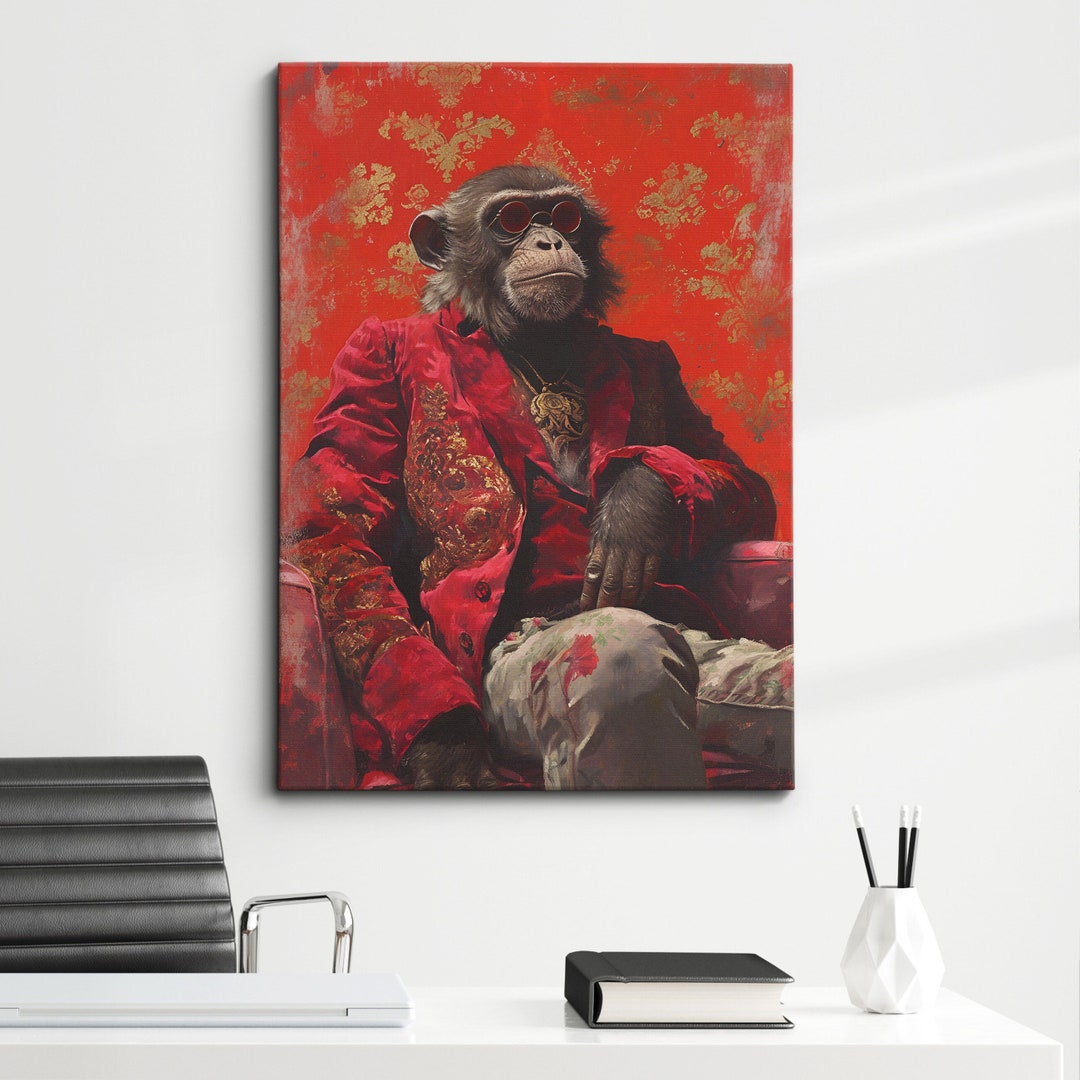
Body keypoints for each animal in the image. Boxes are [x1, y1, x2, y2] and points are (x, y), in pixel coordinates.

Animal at [285, 164, 777, 790]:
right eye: (513, 218)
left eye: (566, 215)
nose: (548, 240)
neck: (532, 340)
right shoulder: (365, 363)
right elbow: (337, 527)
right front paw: (448, 747)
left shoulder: (665, 374)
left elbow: (736, 475)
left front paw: (633, 509)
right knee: (617, 660)